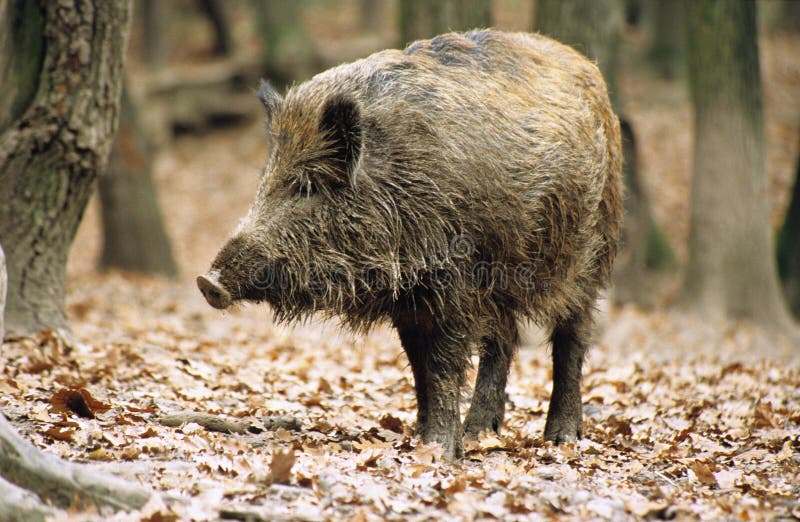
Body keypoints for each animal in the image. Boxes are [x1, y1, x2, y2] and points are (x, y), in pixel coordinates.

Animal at [198, 29, 623, 459]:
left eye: (307, 185)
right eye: (265, 180)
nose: (208, 282)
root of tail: (587, 67)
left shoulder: (453, 283)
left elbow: (442, 364)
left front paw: (438, 450)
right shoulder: (410, 298)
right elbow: (419, 365)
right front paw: (419, 441)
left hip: (592, 248)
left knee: (571, 336)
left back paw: (561, 438)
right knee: (502, 339)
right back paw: (478, 434)